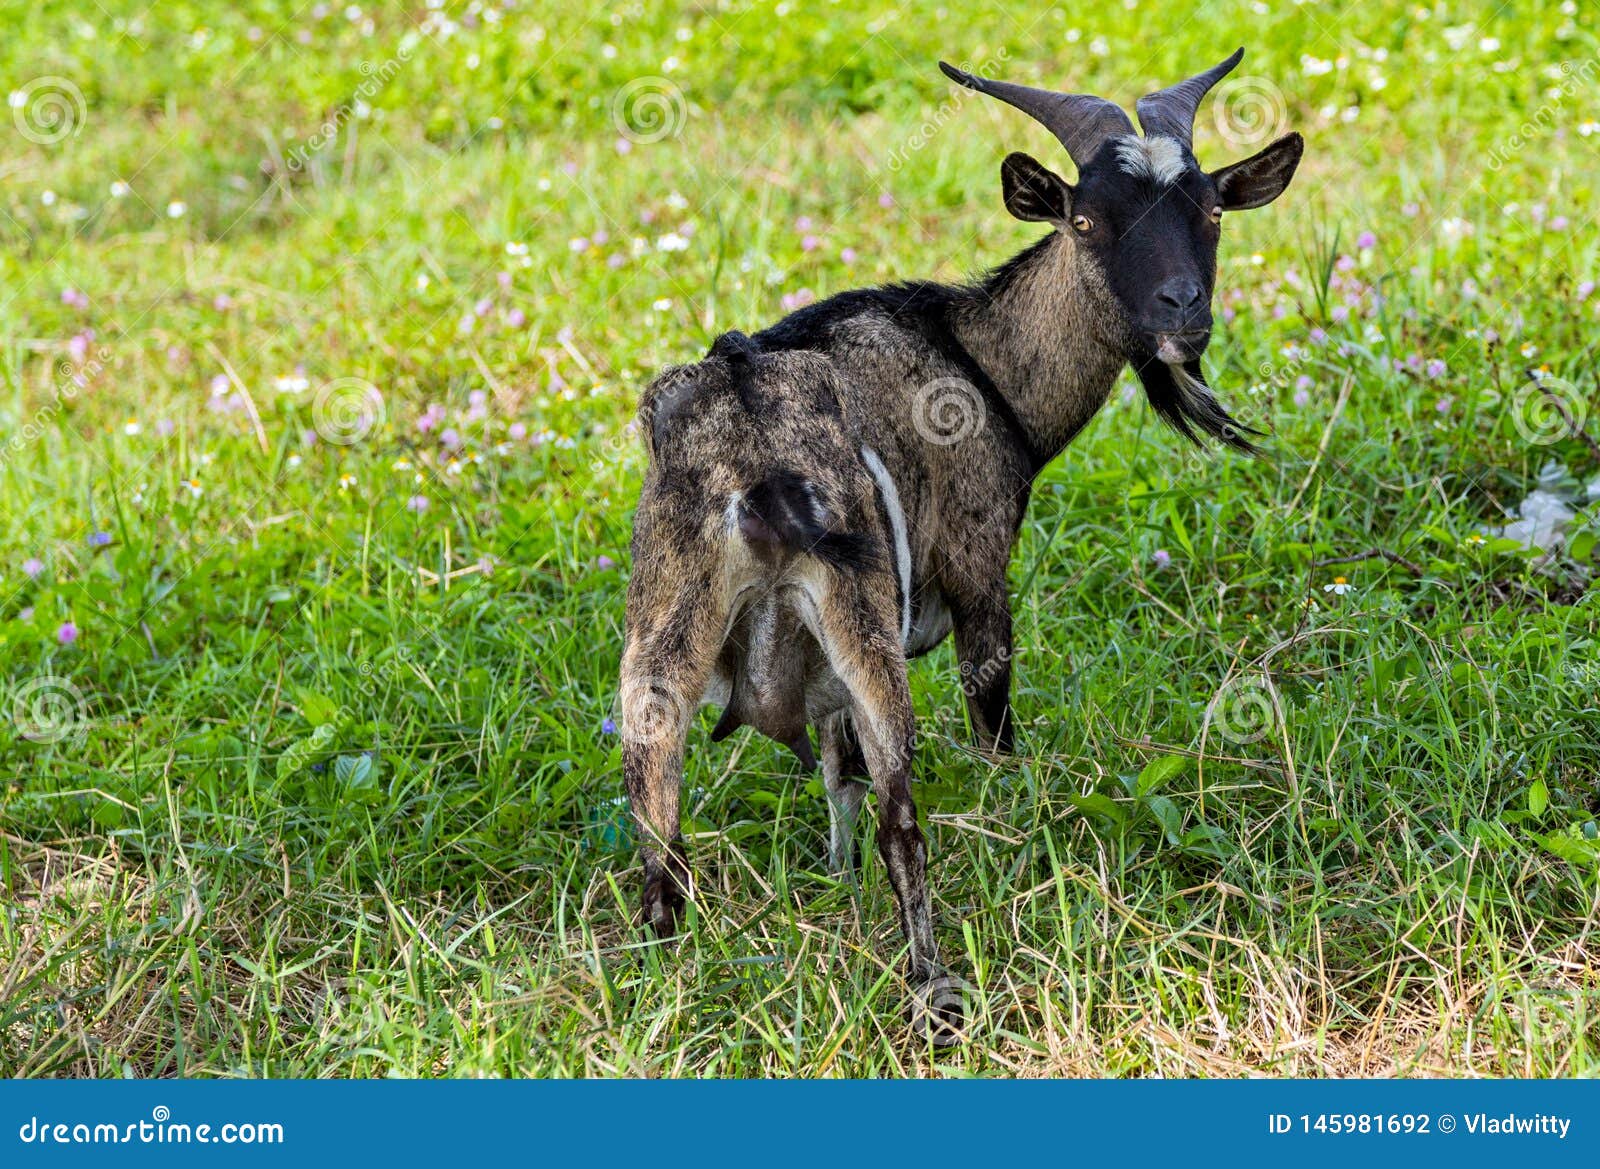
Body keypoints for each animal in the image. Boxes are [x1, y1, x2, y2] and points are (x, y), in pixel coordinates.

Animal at [618, 49, 1302, 1039]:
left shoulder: (816, 667)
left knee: (658, 824)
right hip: (862, 614)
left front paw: (836, 882)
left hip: (666, 619)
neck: (979, 358)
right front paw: (1017, 828)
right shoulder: (981, 569)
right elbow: (990, 725)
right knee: (903, 815)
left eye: (1210, 210)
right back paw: (933, 992)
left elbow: (838, 774)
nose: (1183, 311)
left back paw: (659, 983)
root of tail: (750, 445)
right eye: (1086, 220)